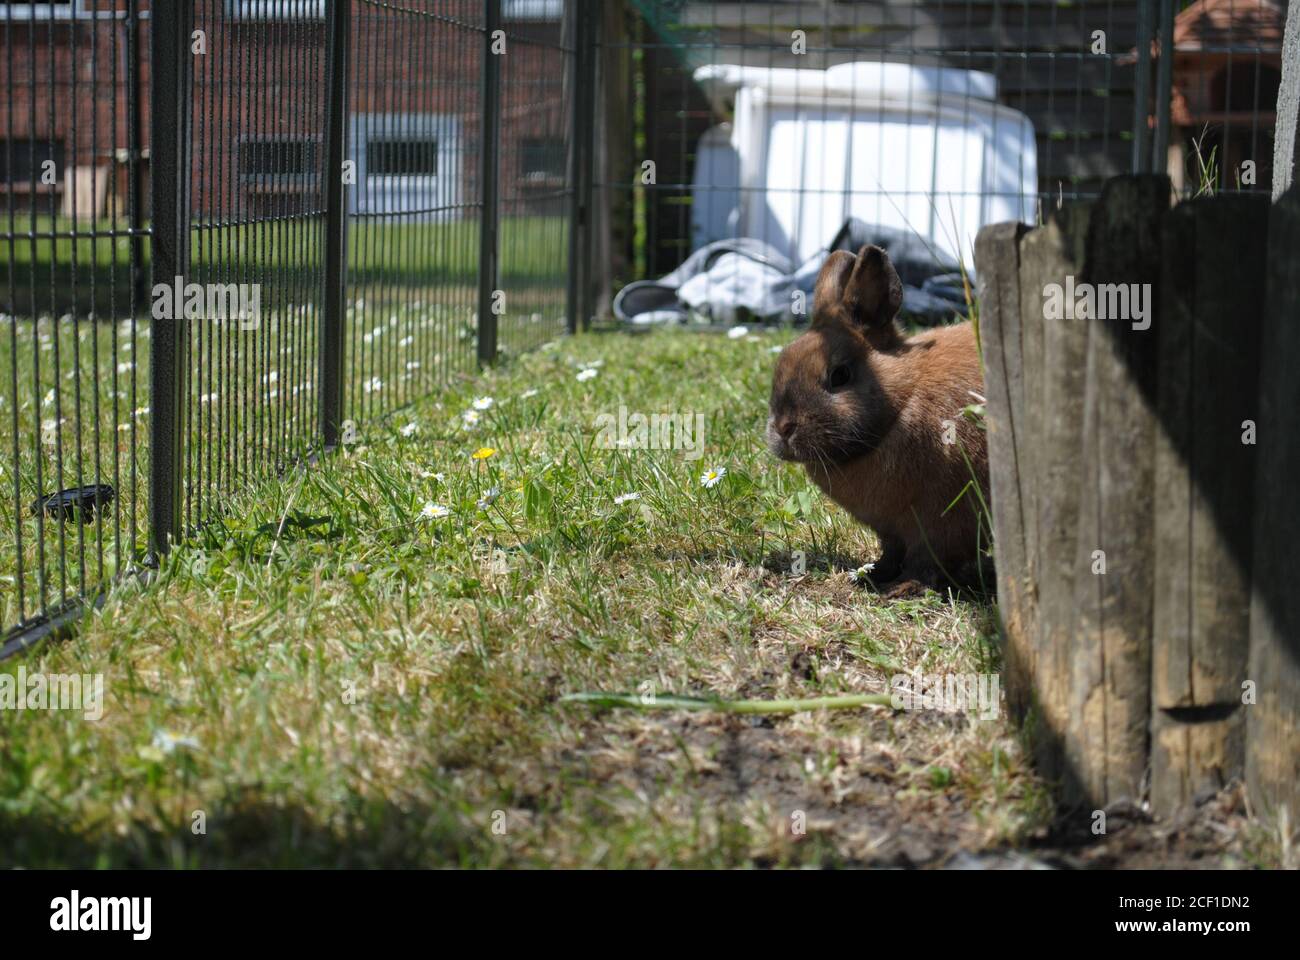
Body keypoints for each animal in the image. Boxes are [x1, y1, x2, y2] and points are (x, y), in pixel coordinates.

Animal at [766, 244, 990, 596]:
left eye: (840, 375)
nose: (783, 428)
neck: (903, 400)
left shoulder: (943, 523)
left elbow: (926, 563)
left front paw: (901, 588)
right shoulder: (891, 531)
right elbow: (891, 553)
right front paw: (870, 575)